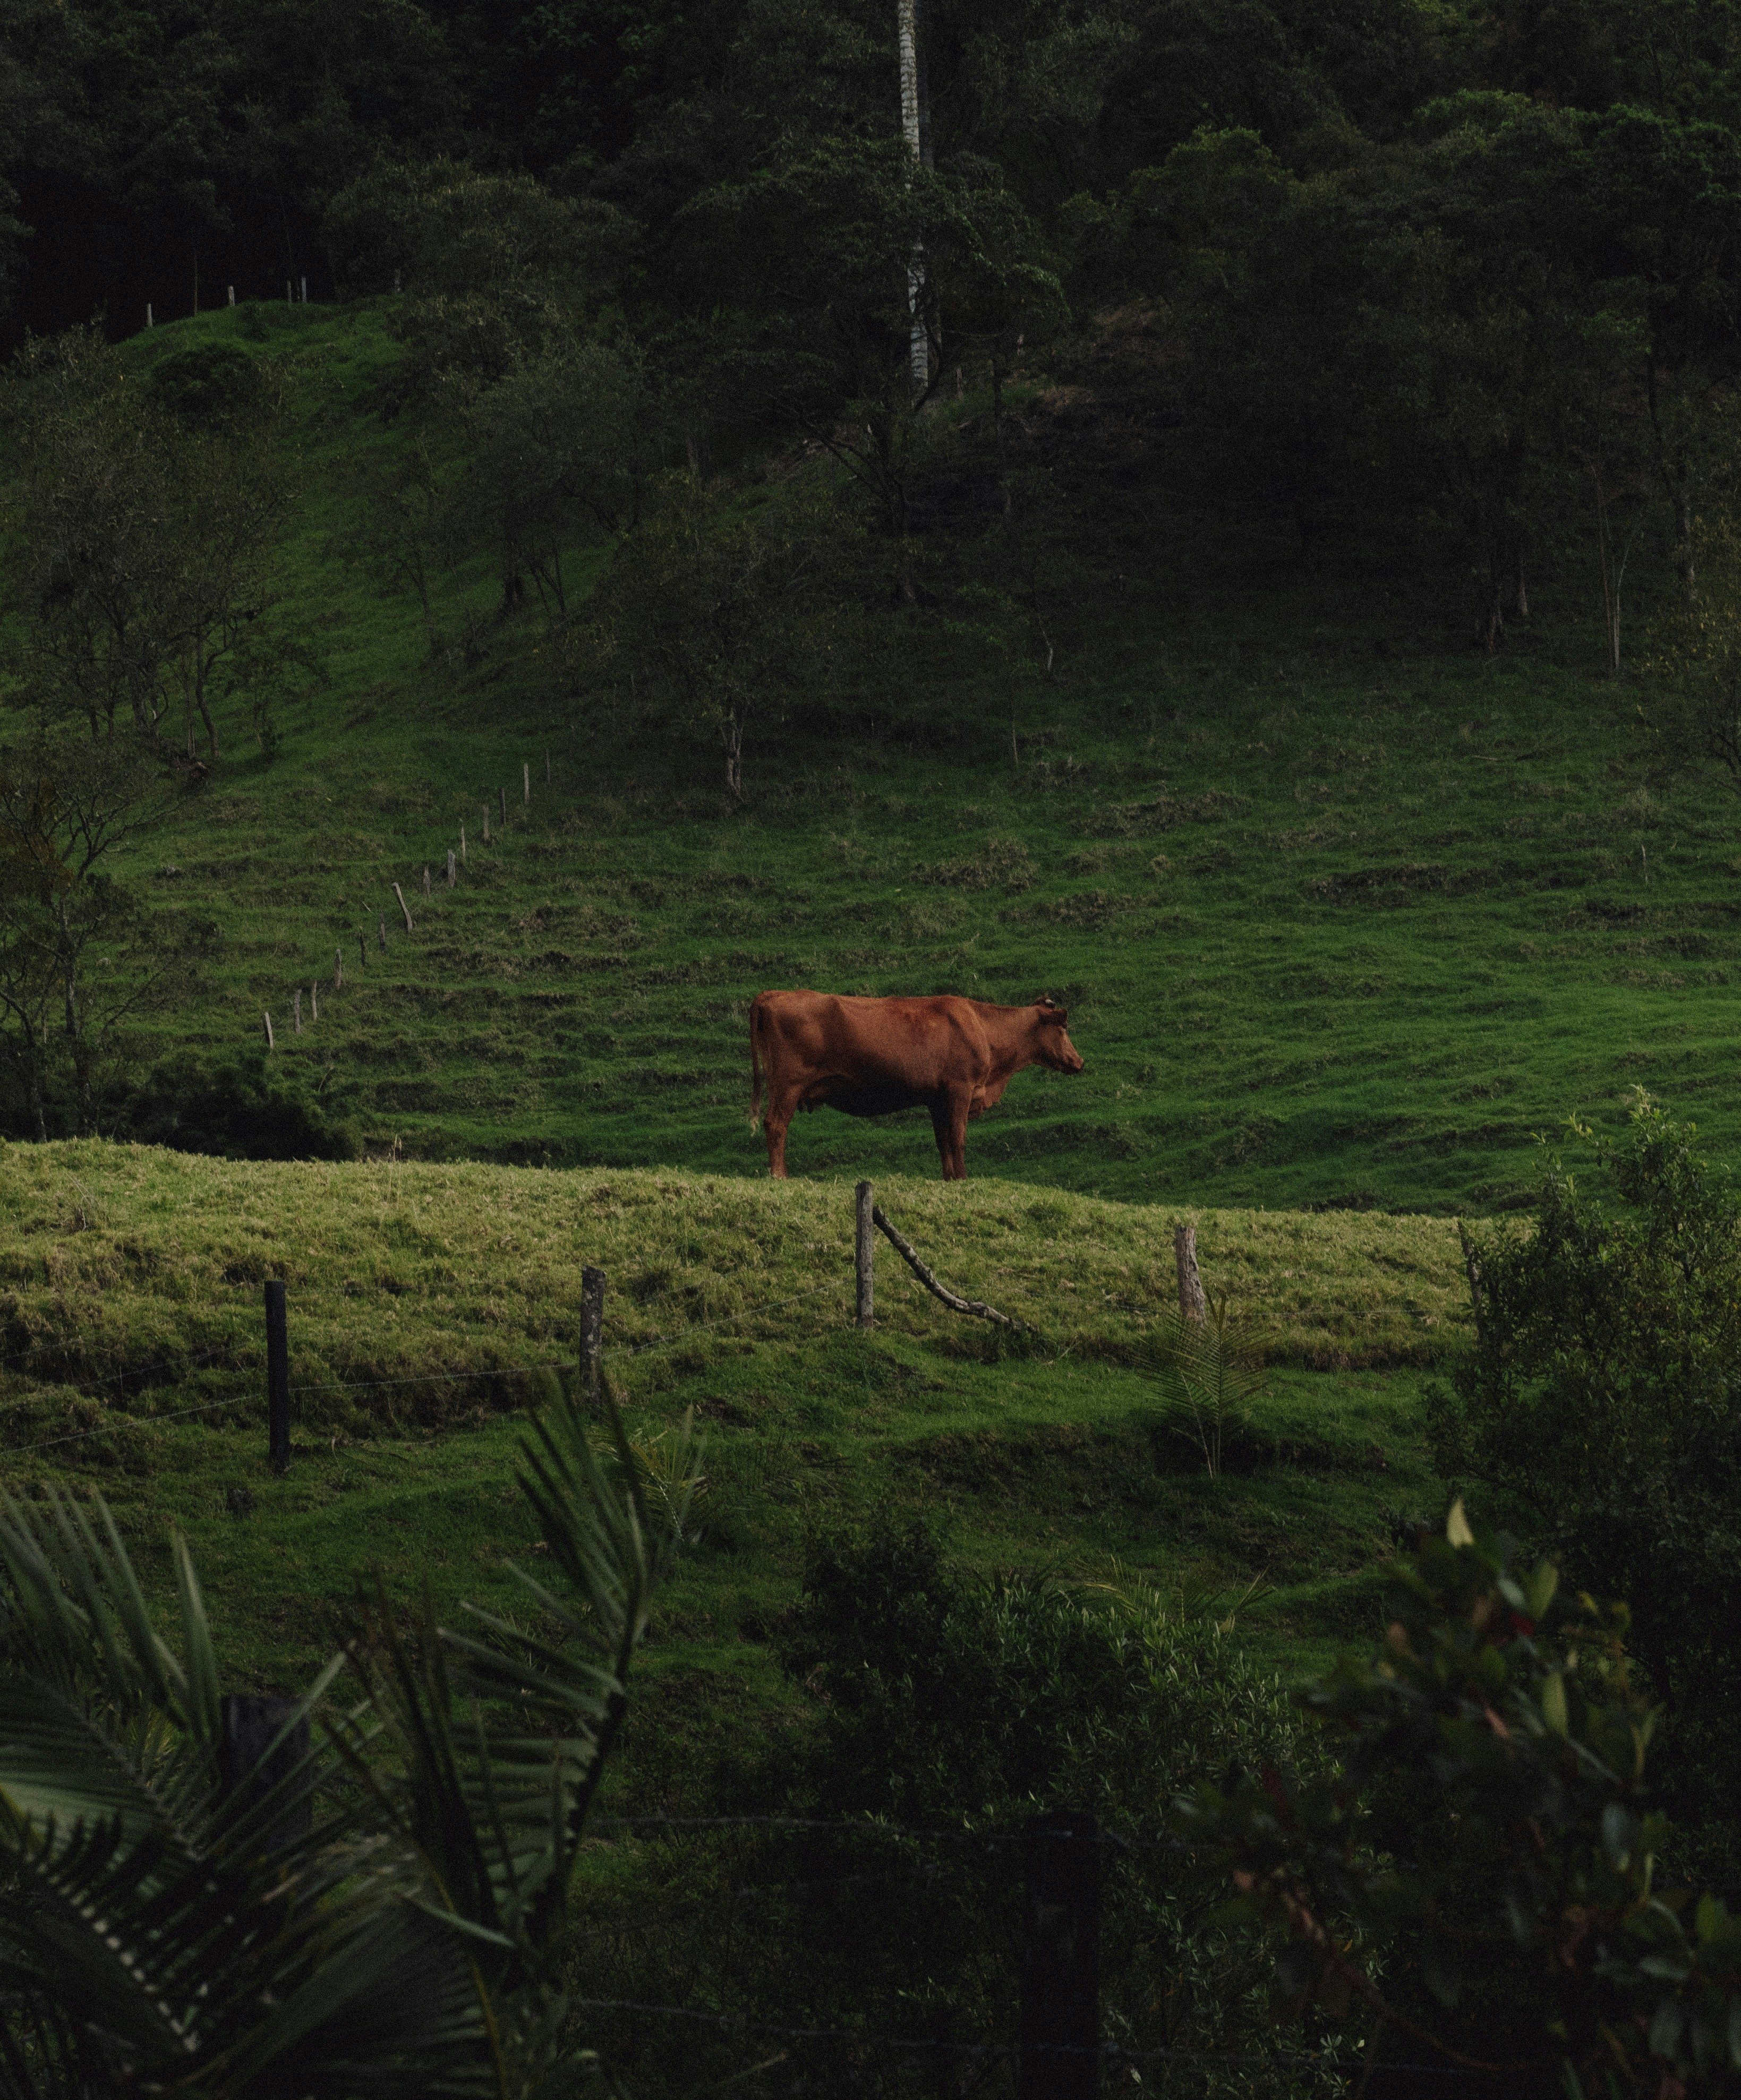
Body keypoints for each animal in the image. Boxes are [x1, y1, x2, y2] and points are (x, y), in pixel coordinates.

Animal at [748, 990, 1085, 1181]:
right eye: (1063, 1028)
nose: (1080, 1062)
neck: (982, 1027)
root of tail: (773, 994)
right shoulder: (960, 1090)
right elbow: (958, 1139)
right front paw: (964, 1179)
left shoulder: (938, 1099)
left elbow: (943, 1141)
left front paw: (949, 1179)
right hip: (788, 1084)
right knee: (776, 1124)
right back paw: (779, 1176)